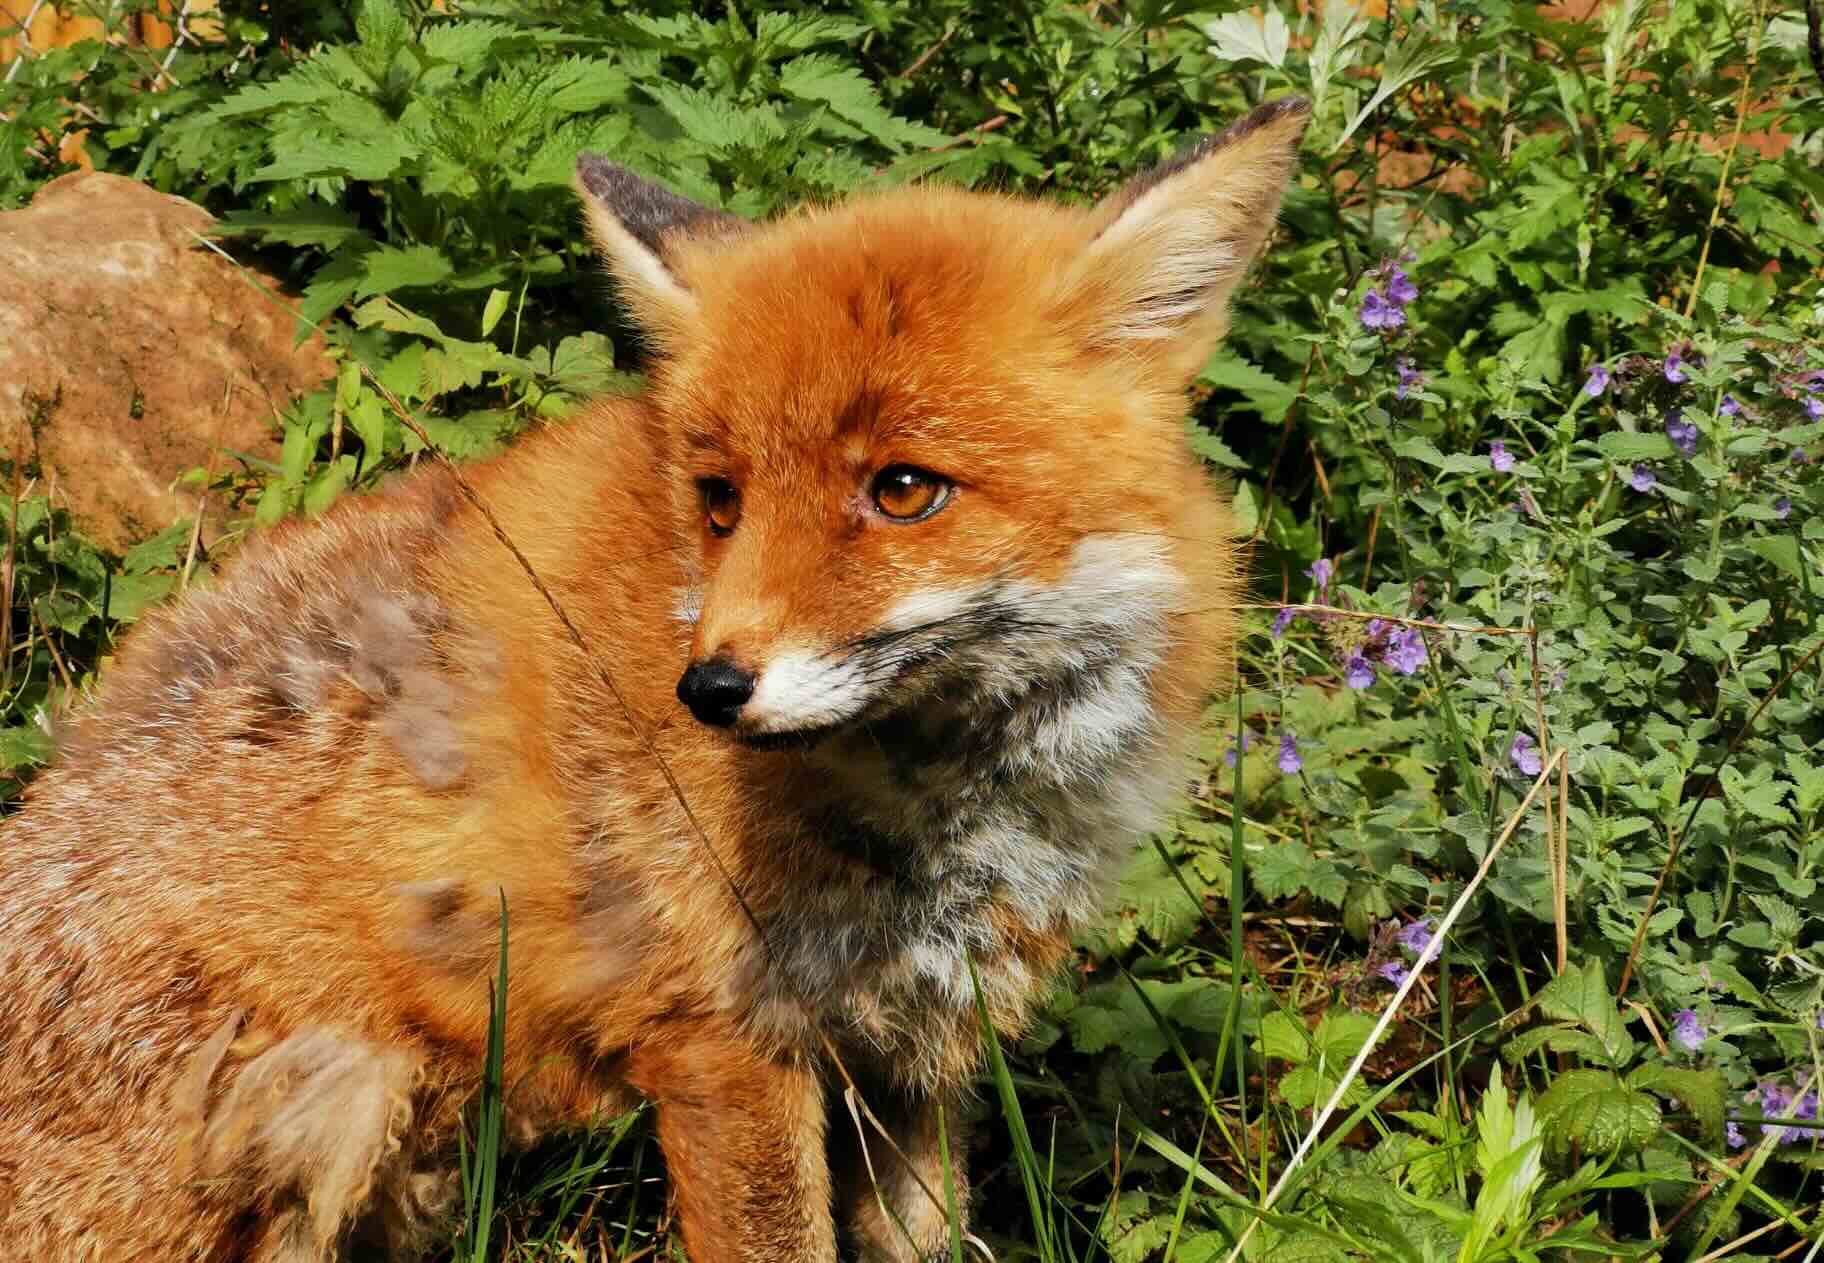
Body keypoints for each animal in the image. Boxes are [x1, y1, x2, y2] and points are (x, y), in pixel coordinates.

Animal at [0, 98, 1307, 1261]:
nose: (711, 690)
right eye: (720, 501)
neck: (943, 807)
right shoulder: (723, 1034)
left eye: (903, 489)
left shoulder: (921, 1034)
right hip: (335, 1094)